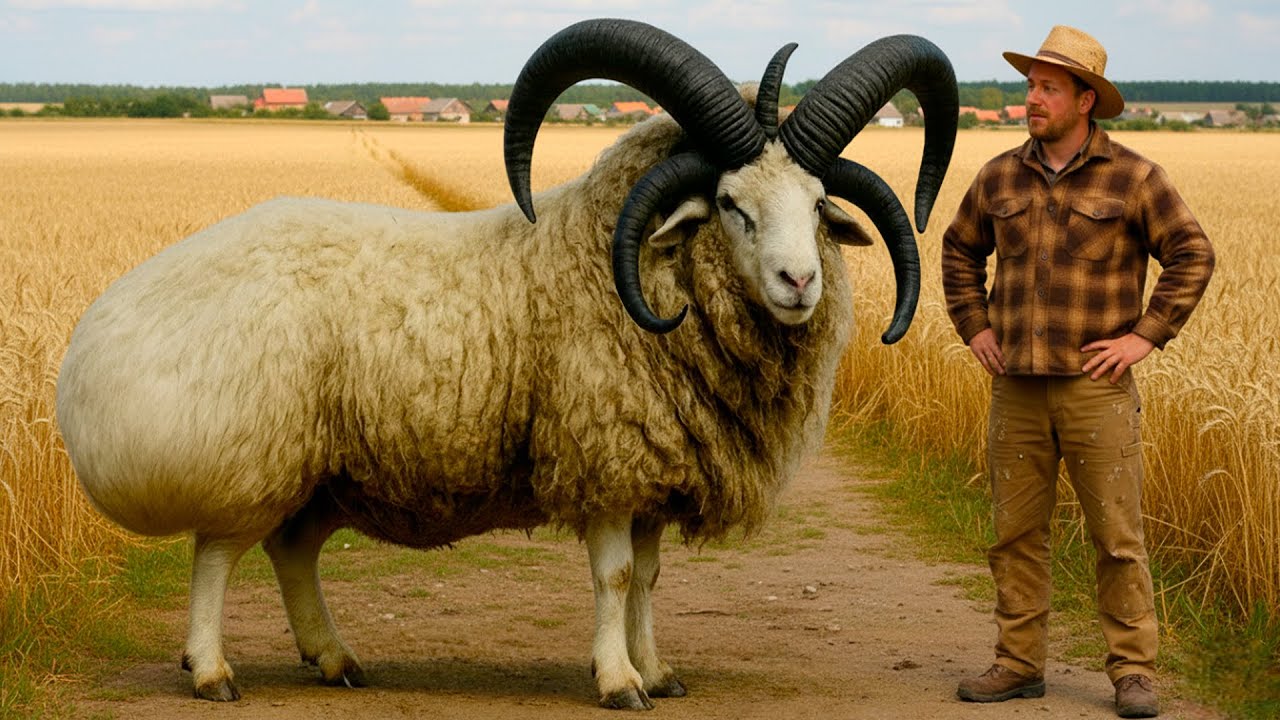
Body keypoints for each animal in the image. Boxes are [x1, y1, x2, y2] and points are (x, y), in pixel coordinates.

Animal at [55, 18, 958, 710]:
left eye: (818, 203)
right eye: (731, 205)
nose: (799, 282)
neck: (609, 265)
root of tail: (91, 340)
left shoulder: (652, 469)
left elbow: (652, 579)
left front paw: (658, 671)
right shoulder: (605, 460)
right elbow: (617, 578)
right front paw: (618, 682)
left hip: (320, 468)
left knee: (291, 551)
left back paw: (335, 659)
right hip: (252, 453)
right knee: (216, 555)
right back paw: (211, 672)